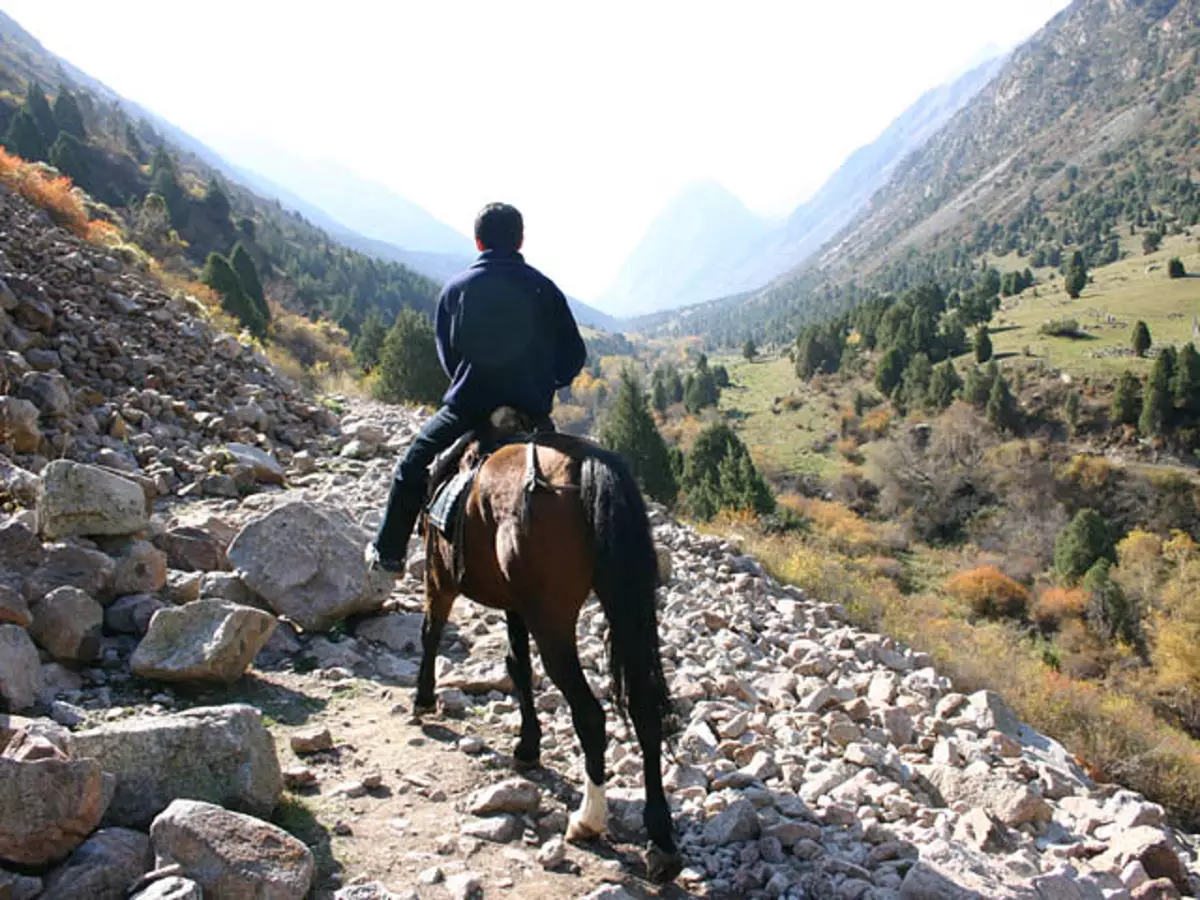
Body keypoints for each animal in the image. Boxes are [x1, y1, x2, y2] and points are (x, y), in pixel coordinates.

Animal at [412, 427, 681, 883]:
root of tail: (588, 464)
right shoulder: (515, 606)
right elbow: (517, 665)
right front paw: (528, 745)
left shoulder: (440, 576)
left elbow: (431, 632)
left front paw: (423, 699)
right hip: (620, 607)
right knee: (644, 711)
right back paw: (661, 843)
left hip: (551, 620)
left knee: (591, 715)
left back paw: (588, 820)